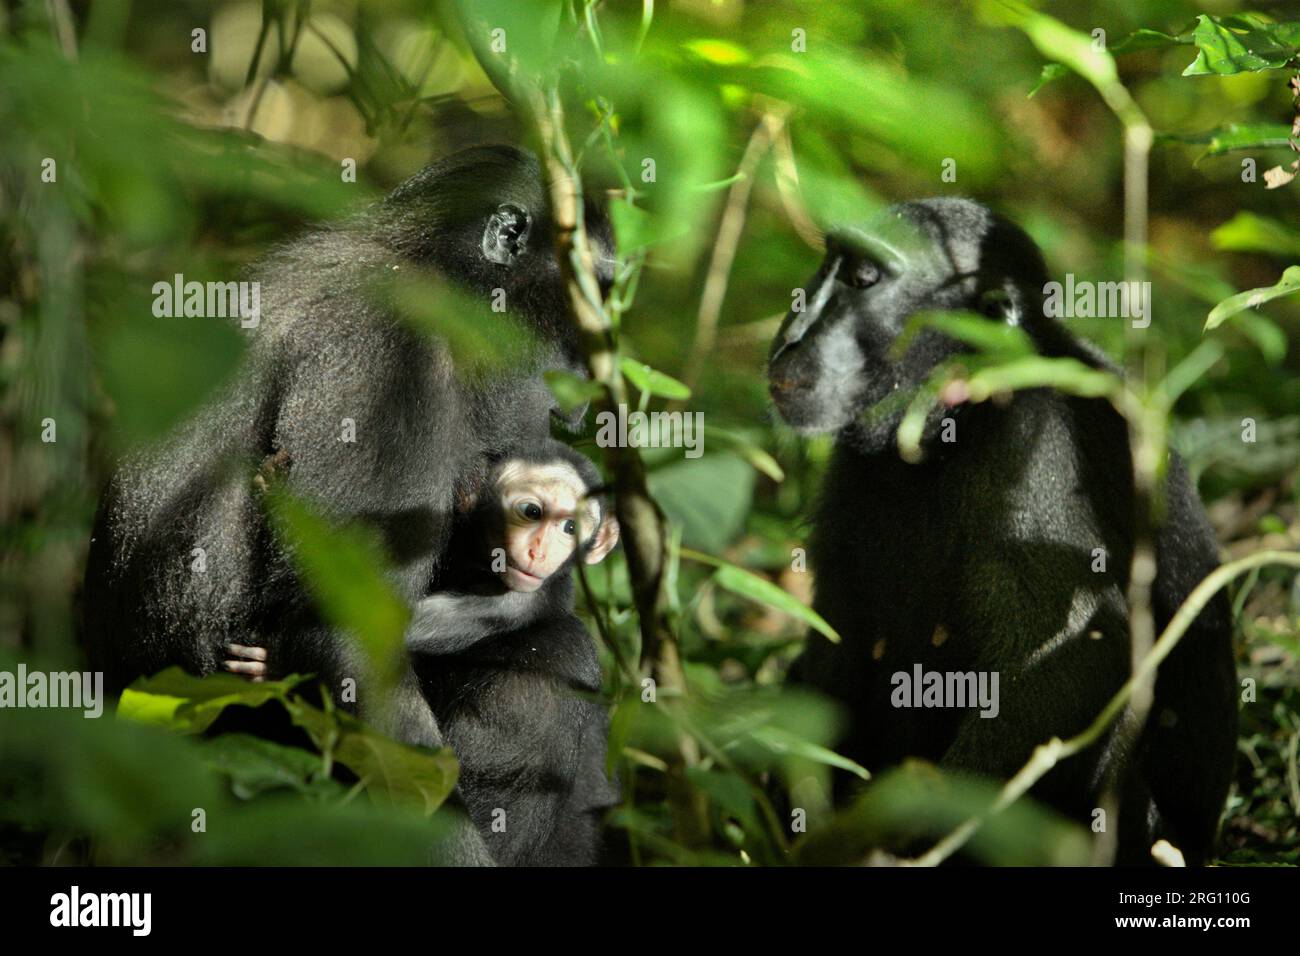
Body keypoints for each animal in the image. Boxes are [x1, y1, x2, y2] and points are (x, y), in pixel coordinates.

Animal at [224, 438, 620, 865]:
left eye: (570, 528)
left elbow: (373, 621)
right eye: (532, 511)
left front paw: (276, 667)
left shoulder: (518, 599)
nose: (539, 550)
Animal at [768, 197, 1236, 865]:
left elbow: (1074, 658)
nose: (792, 332)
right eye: (824, 266)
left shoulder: (1034, 445)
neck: (952, 426)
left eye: (862, 278)